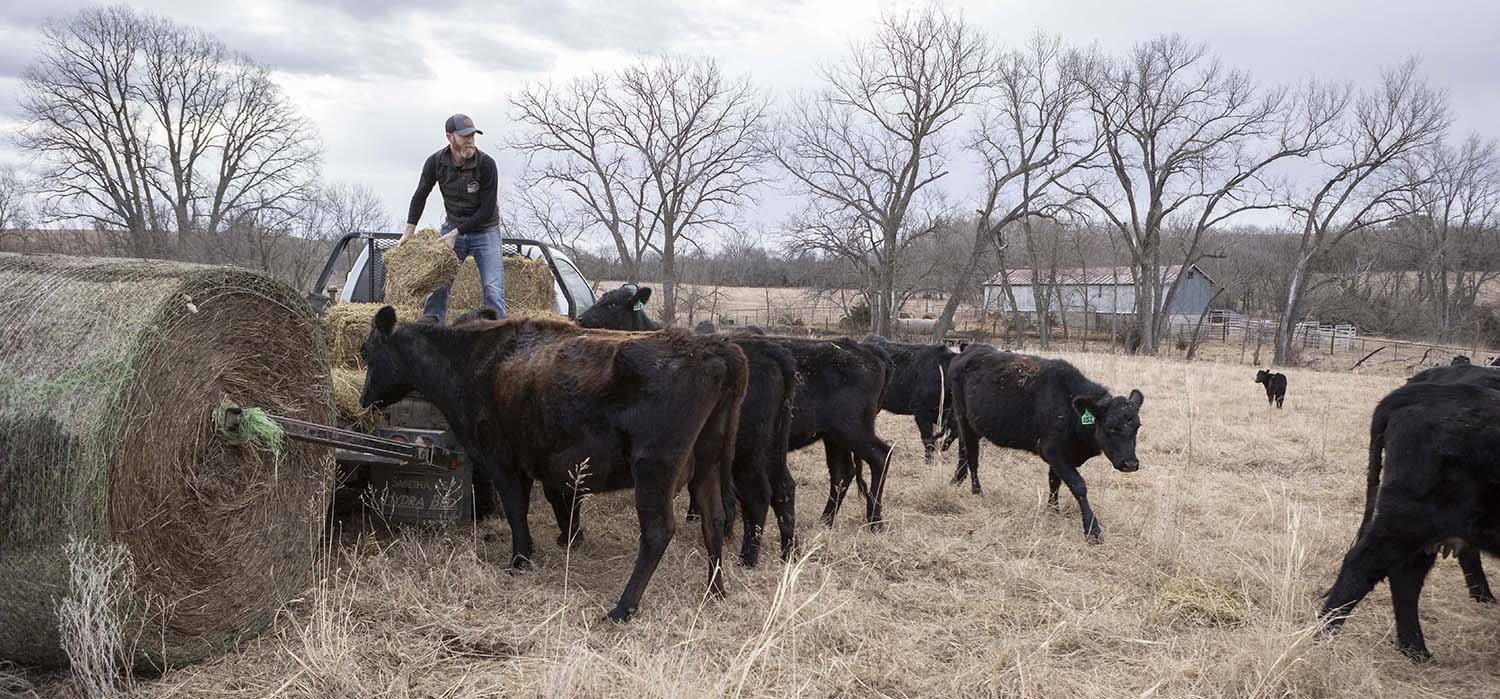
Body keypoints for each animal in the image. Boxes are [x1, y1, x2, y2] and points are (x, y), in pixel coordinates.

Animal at [359, 307, 747, 622]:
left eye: (366, 351)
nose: (364, 399)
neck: (471, 360)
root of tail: (714, 348)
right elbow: (557, 501)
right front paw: (566, 538)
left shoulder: (501, 459)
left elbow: (517, 510)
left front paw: (520, 560)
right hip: (707, 463)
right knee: (714, 519)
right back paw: (715, 591)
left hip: (655, 467)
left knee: (657, 533)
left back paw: (622, 608)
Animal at [580, 285, 800, 564]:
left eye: (611, 304)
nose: (580, 319)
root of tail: (775, 351)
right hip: (772, 444)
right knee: (784, 488)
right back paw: (789, 552)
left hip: (748, 448)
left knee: (759, 494)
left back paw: (747, 558)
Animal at [583, 284, 894, 530]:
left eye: (612, 304)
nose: (581, 318)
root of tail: (861, 347)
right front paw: (695, 515)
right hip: (834, 436)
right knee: (842, 474)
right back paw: (826, 521)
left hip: (853, 428)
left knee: (880, 455)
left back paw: (875, 520)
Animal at [947, 344, 1144, 543]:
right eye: (1110, 426)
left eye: (1137, 426)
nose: (1130, 464)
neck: (1069, 409)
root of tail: (971, 349)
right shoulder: (1052, 451)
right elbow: (1078, 485)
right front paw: (1092, 530)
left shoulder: (1061, 455)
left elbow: (1054, 481)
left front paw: (1053, 510)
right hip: (963, 418)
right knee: (972, 456)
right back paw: (977, 491)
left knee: (963, 449)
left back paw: (957, 479)